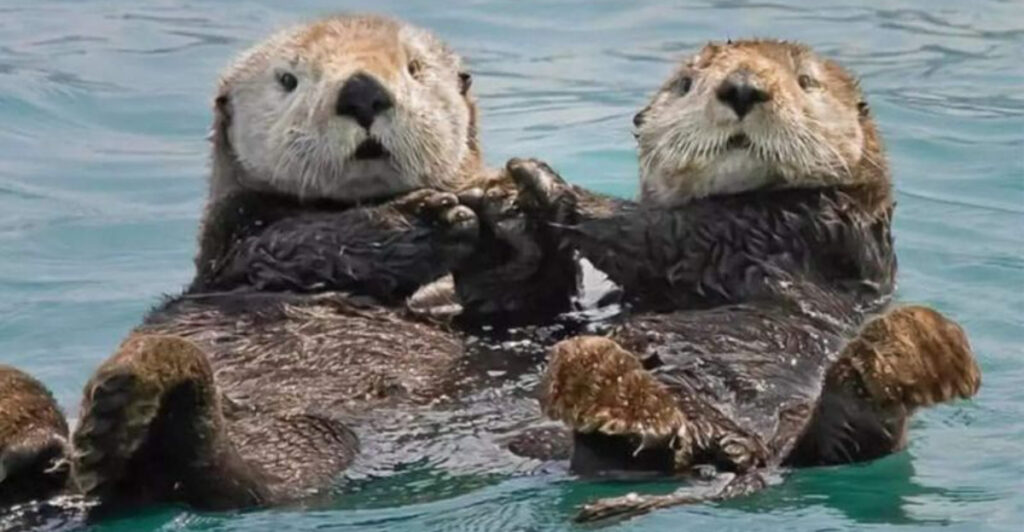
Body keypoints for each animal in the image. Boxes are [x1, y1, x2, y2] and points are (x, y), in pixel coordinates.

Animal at [0, 14, 575, 514]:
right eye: (288, 79)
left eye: (414, 68)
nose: (362, 91)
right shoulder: (239, 243)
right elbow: (305, 245)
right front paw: (426, 220)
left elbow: (514, 297)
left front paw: (509, 214)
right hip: (295, 434)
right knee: (234, 482)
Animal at [488, 40, 980, 520]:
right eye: (687, 84)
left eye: (806, 81)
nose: (742, 88)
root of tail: (742, 457)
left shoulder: (786, 231)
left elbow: (653, 234)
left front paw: (540, 180)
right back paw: (608, 390)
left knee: (852, 443)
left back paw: (909, 356)